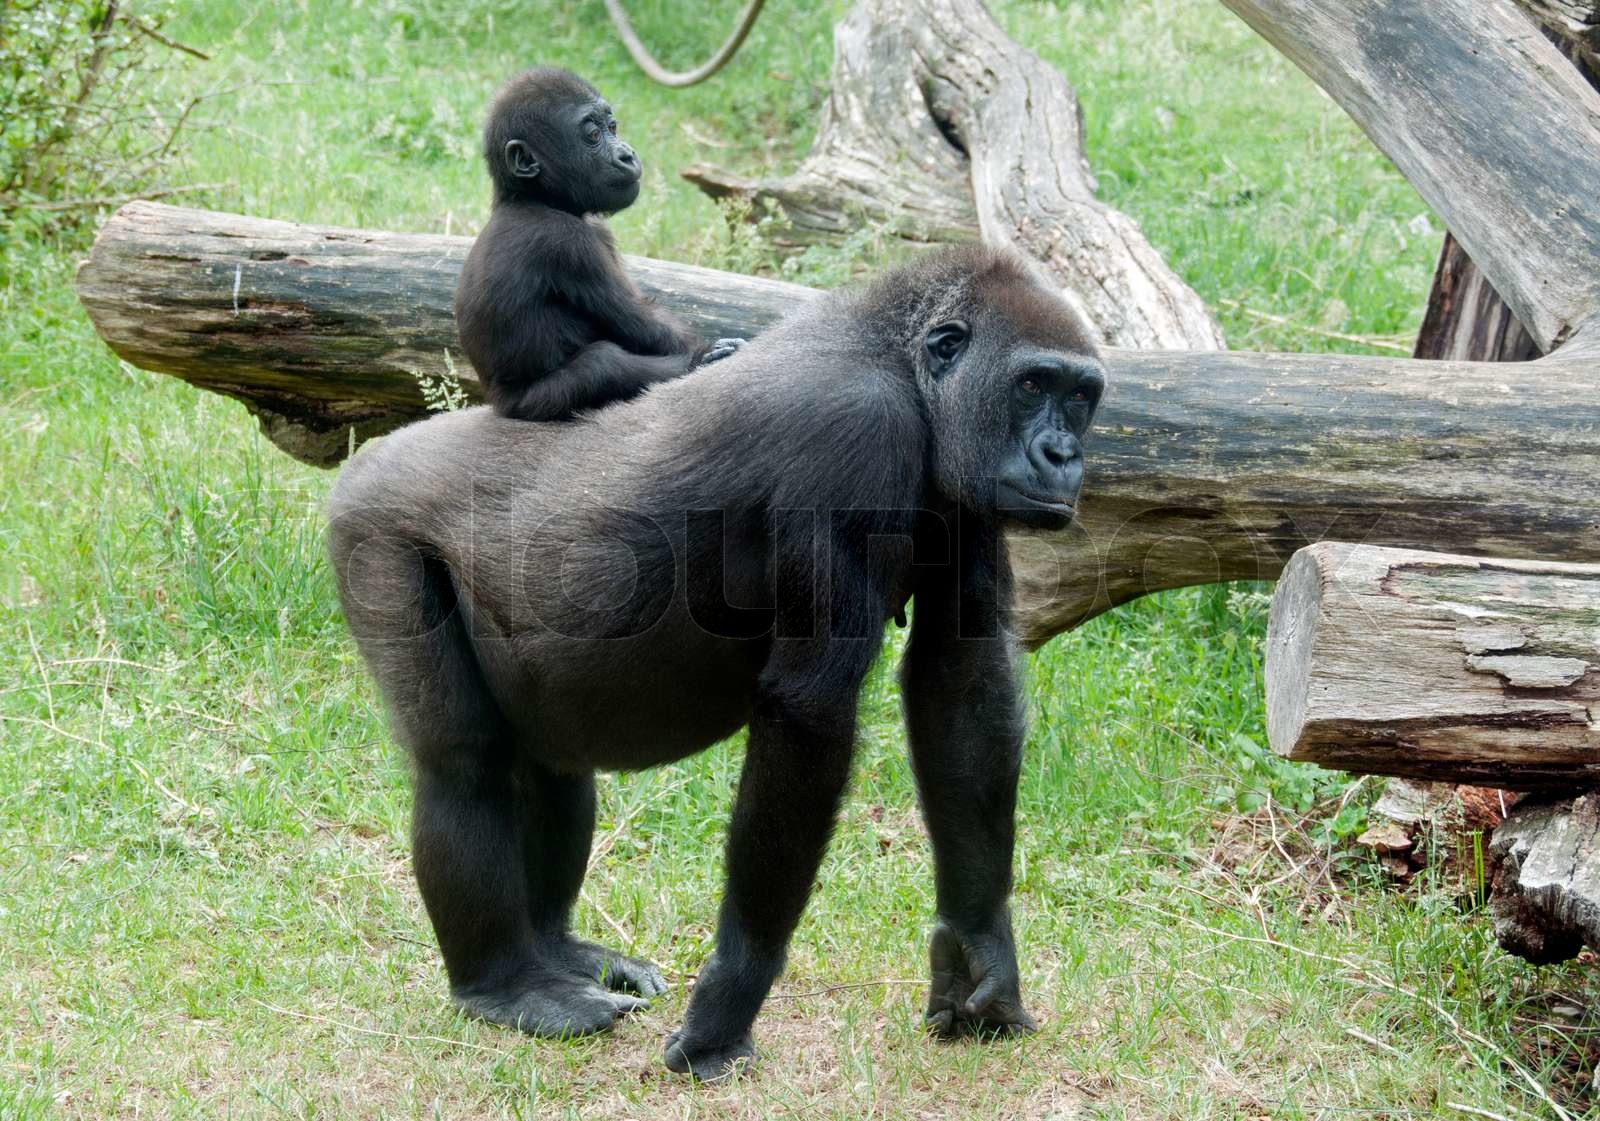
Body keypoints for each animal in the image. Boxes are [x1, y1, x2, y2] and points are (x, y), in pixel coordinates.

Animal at [329, 244, 1105, 1080]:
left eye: (1082, 396)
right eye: (1032, 386)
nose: (1064, 456)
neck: (904, 365)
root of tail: (373, 456)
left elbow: (959, 686)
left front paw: (978, 947)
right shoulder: (851, 433)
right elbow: (808, 712)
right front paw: (734, 995)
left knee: (550, 759)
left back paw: (559, 950)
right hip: (376, 527)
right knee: (464, 763)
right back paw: (504, 983)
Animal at [453, 67, 742, 420]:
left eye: (613, 127)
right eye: (592, 136)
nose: (627, 154)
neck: (531, 197)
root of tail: (497, 404)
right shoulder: (567, 241)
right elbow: (640, 324)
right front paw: (702, 355)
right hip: (530, 404)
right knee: (602, 365)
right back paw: (697, 364)